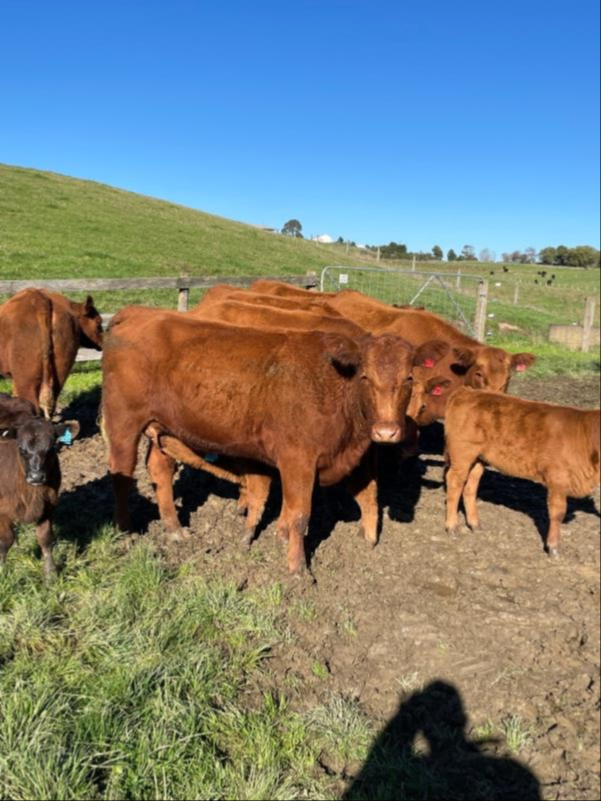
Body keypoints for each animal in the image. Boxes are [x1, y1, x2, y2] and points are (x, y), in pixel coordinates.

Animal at [0, 410, 79, 577]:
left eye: (52, 448)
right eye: (21, 449)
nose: (36, 476)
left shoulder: (48, 506)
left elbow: (46, 538)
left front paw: (51, 573)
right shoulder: (2, 510)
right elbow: (5, 540)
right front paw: (2, 571)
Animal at [102, 306, 446, 575]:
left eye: (408, 379)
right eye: (365, 377)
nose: (386, 432)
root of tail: (138, 312)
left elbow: (362, 495)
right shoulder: (299, 459)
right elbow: (300, 514)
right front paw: (298, 569)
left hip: (163, 426)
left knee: (159, 469)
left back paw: (174, 530)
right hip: (123, 422)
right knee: (121, 473)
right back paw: (124, 529)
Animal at [444, 387, 601, 556]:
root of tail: (467, 392)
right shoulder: (557, 477)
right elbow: (558, 512)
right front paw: (553, 547)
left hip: (478, 459)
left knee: (470, 487)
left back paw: (475, 524)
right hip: (462, 454)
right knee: (454, 482)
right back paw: (452, 527)